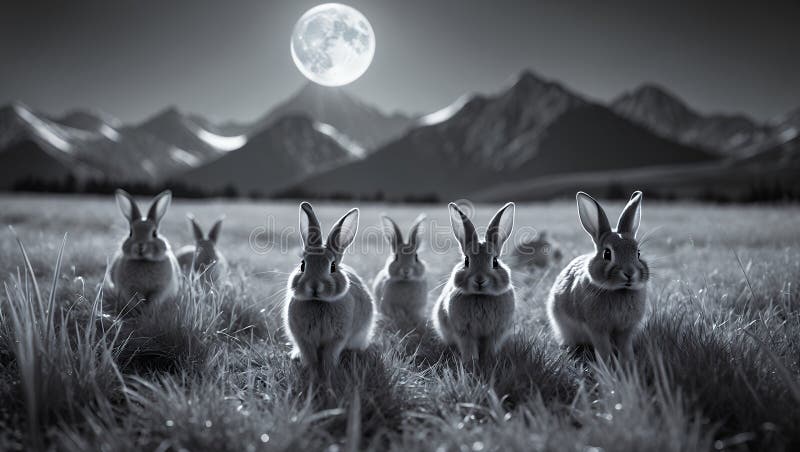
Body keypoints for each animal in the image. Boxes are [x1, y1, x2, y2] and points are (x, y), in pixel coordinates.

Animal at [283, 202, 375, 372]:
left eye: (332, 266)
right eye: (302, 265)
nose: (314, 286)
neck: (318, 302)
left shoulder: (338, 337)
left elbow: (330, 354)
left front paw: (329, 368)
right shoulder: (302, 338)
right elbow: (309, 354)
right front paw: (311, 368)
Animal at [433, 202, 516, 362]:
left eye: (495, 262)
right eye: (467, 261)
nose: (479, 280)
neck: (481, 296)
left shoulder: (495, 332)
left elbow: (491, 346)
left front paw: (489, 360)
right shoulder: (464, 332)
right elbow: (469, 347)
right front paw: (471, 362)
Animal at [547, 191, 649, 361]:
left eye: (638, 253)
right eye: (607, 253)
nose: (629, 273)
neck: (619, 290)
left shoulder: (625, 329)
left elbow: (625, 347)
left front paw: (629, 363)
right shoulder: (596, 328)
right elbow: (603, 348)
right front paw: (607, 364)